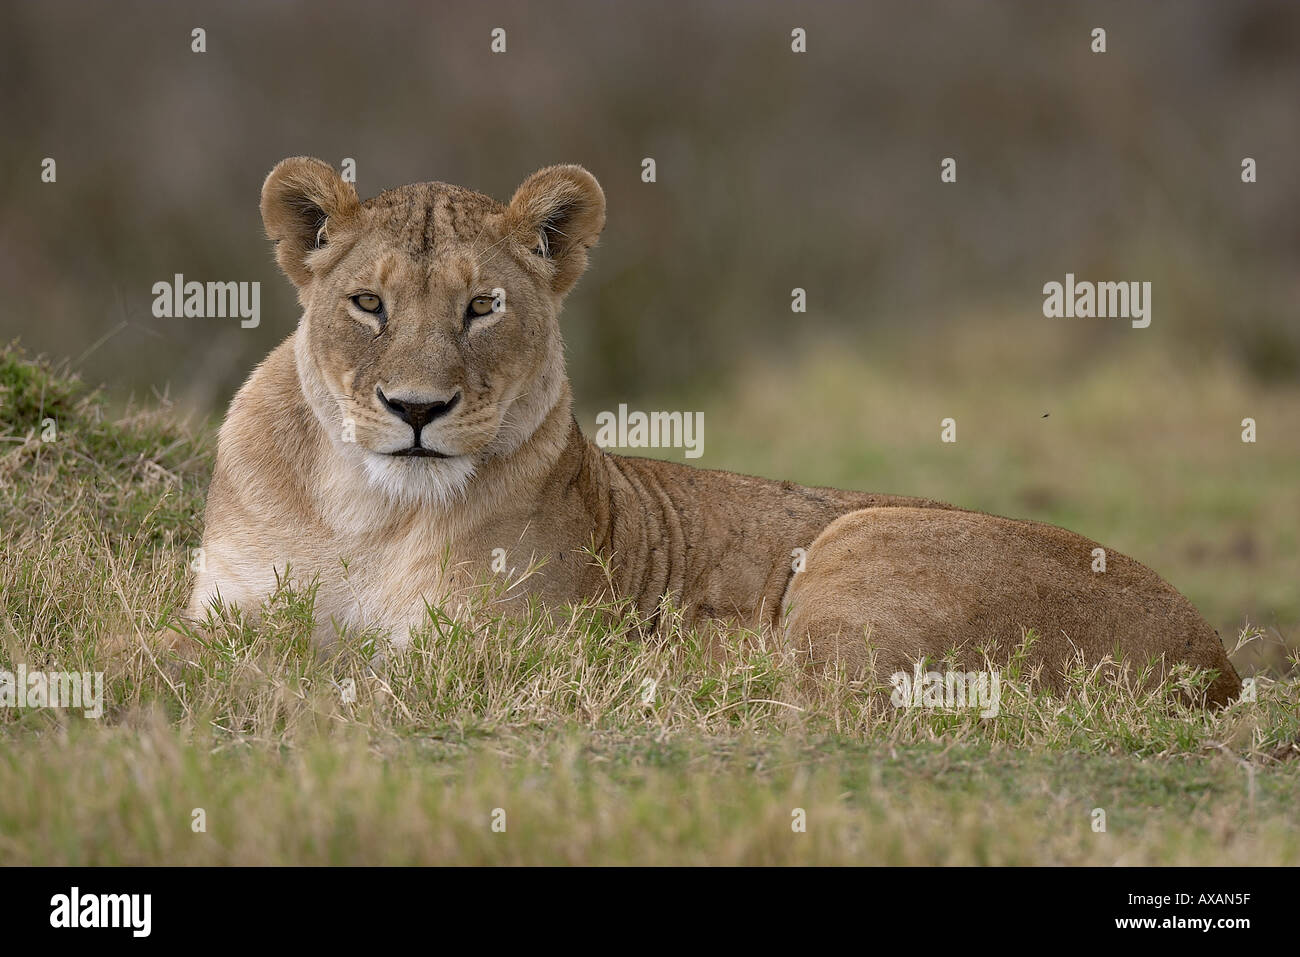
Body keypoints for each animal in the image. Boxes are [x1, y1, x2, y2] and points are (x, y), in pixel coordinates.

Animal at [185, 156, 1240, 706]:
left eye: (483, 307)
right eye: (367, 304)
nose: (415, 410)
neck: (371, 510)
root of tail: (1219, 666)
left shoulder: (500, 644)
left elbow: (363, 661)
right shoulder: (225, 603)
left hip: (861, 542)